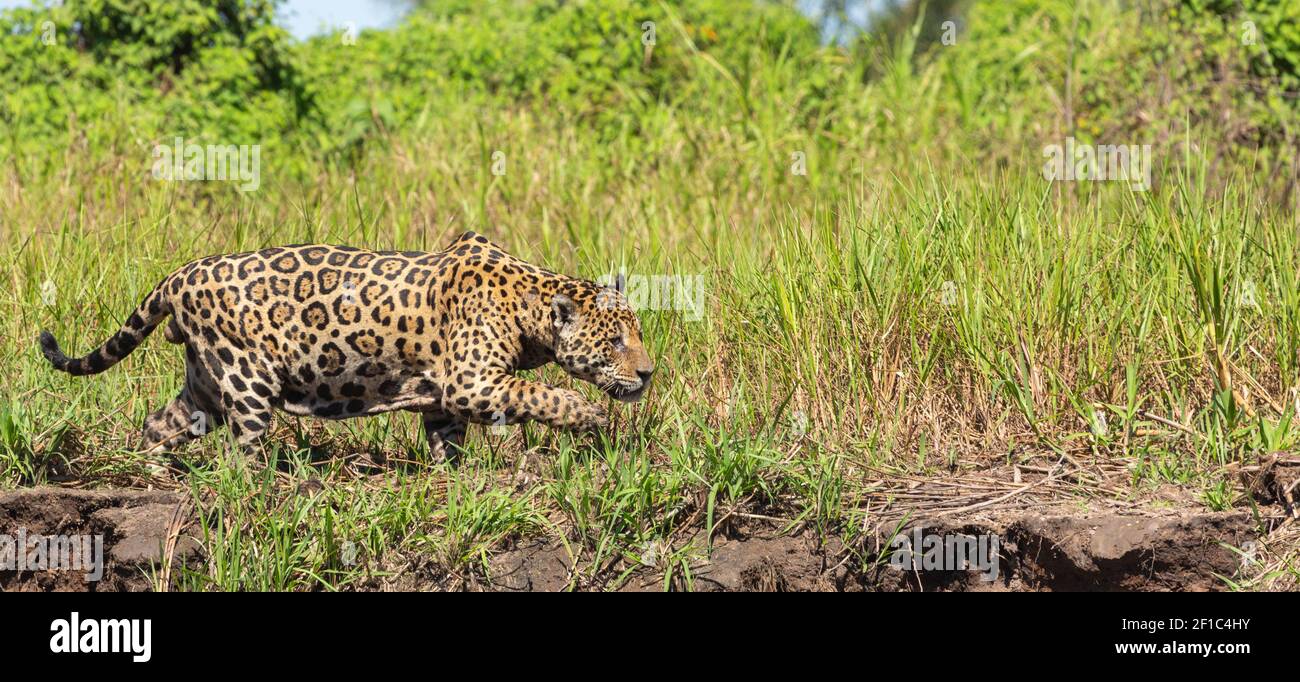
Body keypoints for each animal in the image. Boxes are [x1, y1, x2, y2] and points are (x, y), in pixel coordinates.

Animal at [38, 231, 655, 461]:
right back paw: (272, 487)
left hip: (204, 383)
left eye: (639, 334)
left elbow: (448, 440)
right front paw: (587, 414)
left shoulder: (444, 396)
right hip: (247, 378)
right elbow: (538, 394)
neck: (529, 306)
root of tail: (180, 274)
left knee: (159, 423)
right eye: (616, 340)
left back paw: (156, 470)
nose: (648, 373)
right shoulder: (473, 383)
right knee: (245, 451)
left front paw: (455, 480)